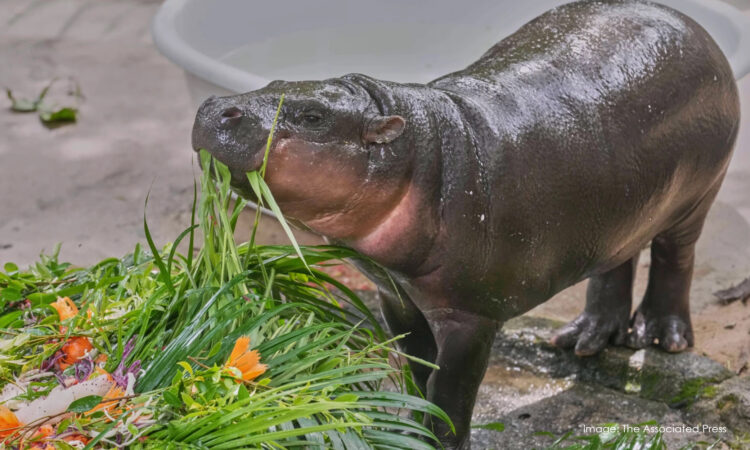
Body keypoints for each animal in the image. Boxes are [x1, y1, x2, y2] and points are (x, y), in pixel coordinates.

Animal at [191, 0, 740, 447]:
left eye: (311, 116)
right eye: (271, 85)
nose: (215, 106)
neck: (421, 152)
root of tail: (690, 23)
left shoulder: (470, 315)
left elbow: (450, 388)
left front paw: (438, 439)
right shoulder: (395, 295)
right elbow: (417, 367)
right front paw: (410, 427)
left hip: (697, 196)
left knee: (674, 257)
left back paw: (661, 337)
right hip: (622, 208)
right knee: (616, 260)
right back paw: (583, 341)